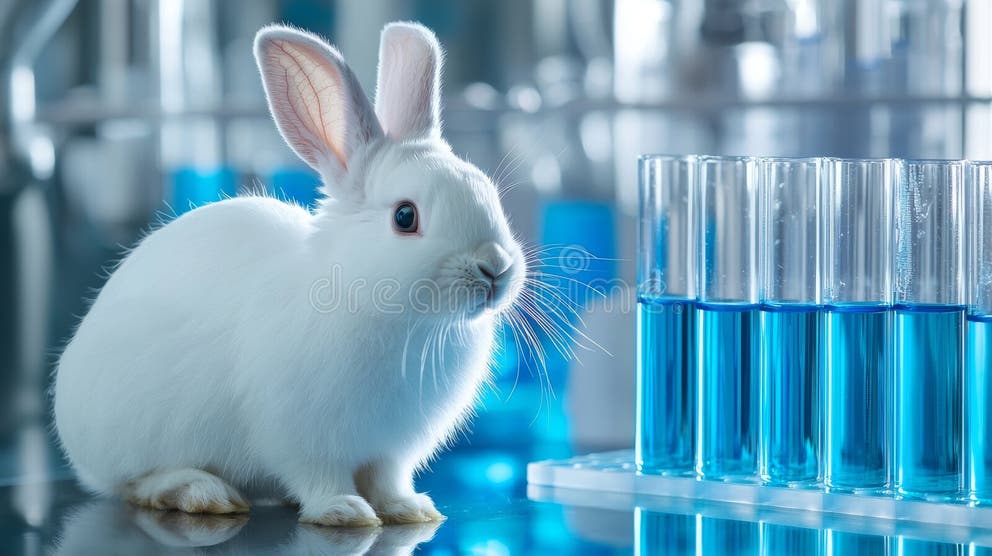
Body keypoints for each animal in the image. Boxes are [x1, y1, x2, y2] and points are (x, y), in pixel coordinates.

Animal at [53, 21, 526, 528]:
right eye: (405, 217)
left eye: (488, 191)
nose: (495, 268)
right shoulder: (301, 437)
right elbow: (318, 477)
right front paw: (345, 511)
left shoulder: (391, 451)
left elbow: (388, 480)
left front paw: (411, 510)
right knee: (135, 484)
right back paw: (203, 492)